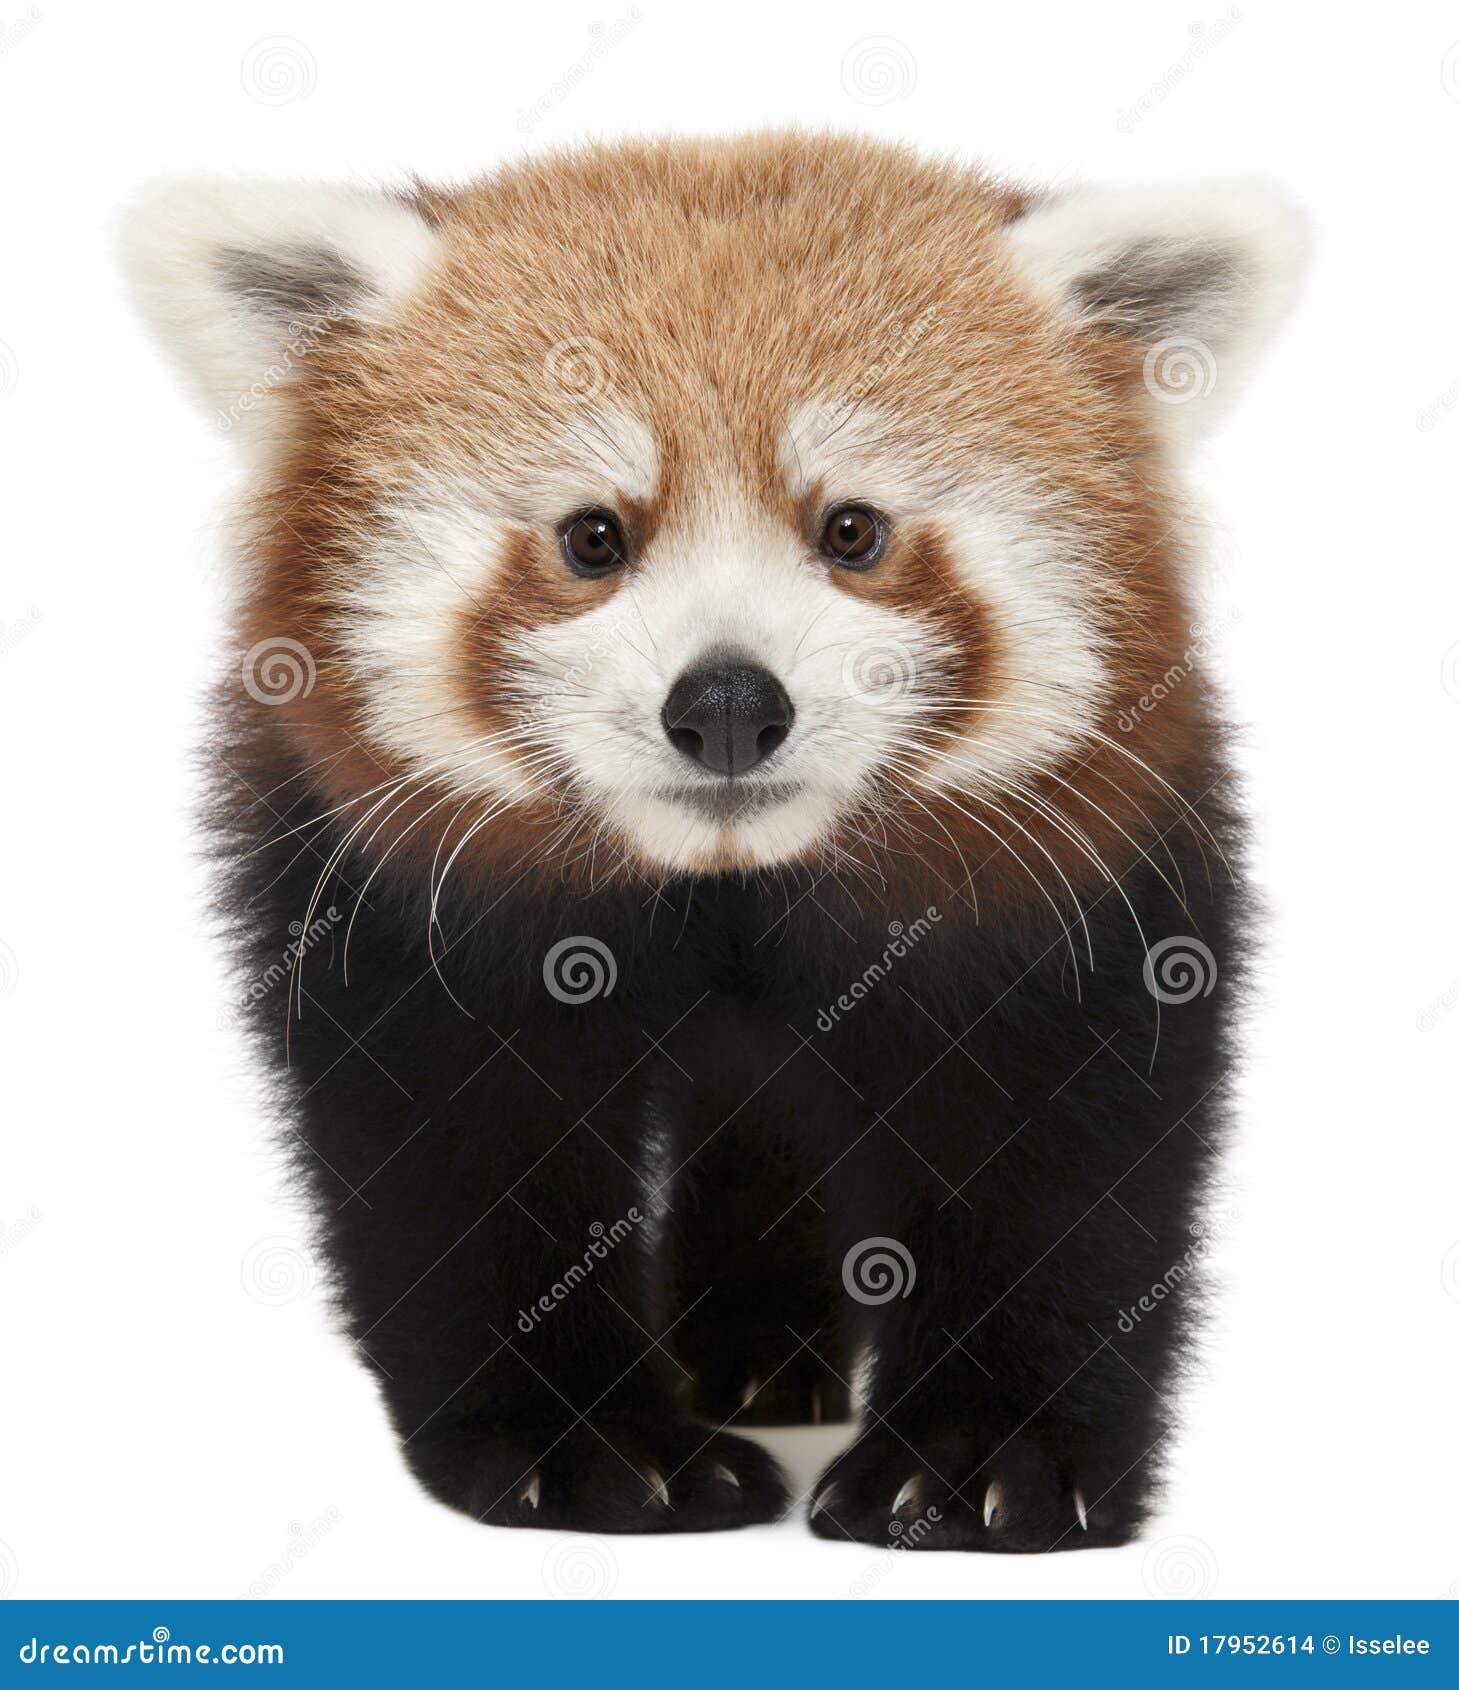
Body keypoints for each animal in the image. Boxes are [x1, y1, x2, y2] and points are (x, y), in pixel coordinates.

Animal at [122, 132, 1304, 1549]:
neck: (730, 885)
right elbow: (458, 1150)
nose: (730, 702)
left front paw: (985, 1458)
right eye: (593, 537)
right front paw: (581, 1443)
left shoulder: (1070, 873)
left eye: (851, 530)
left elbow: (1059, 1154)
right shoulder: (396, 883)